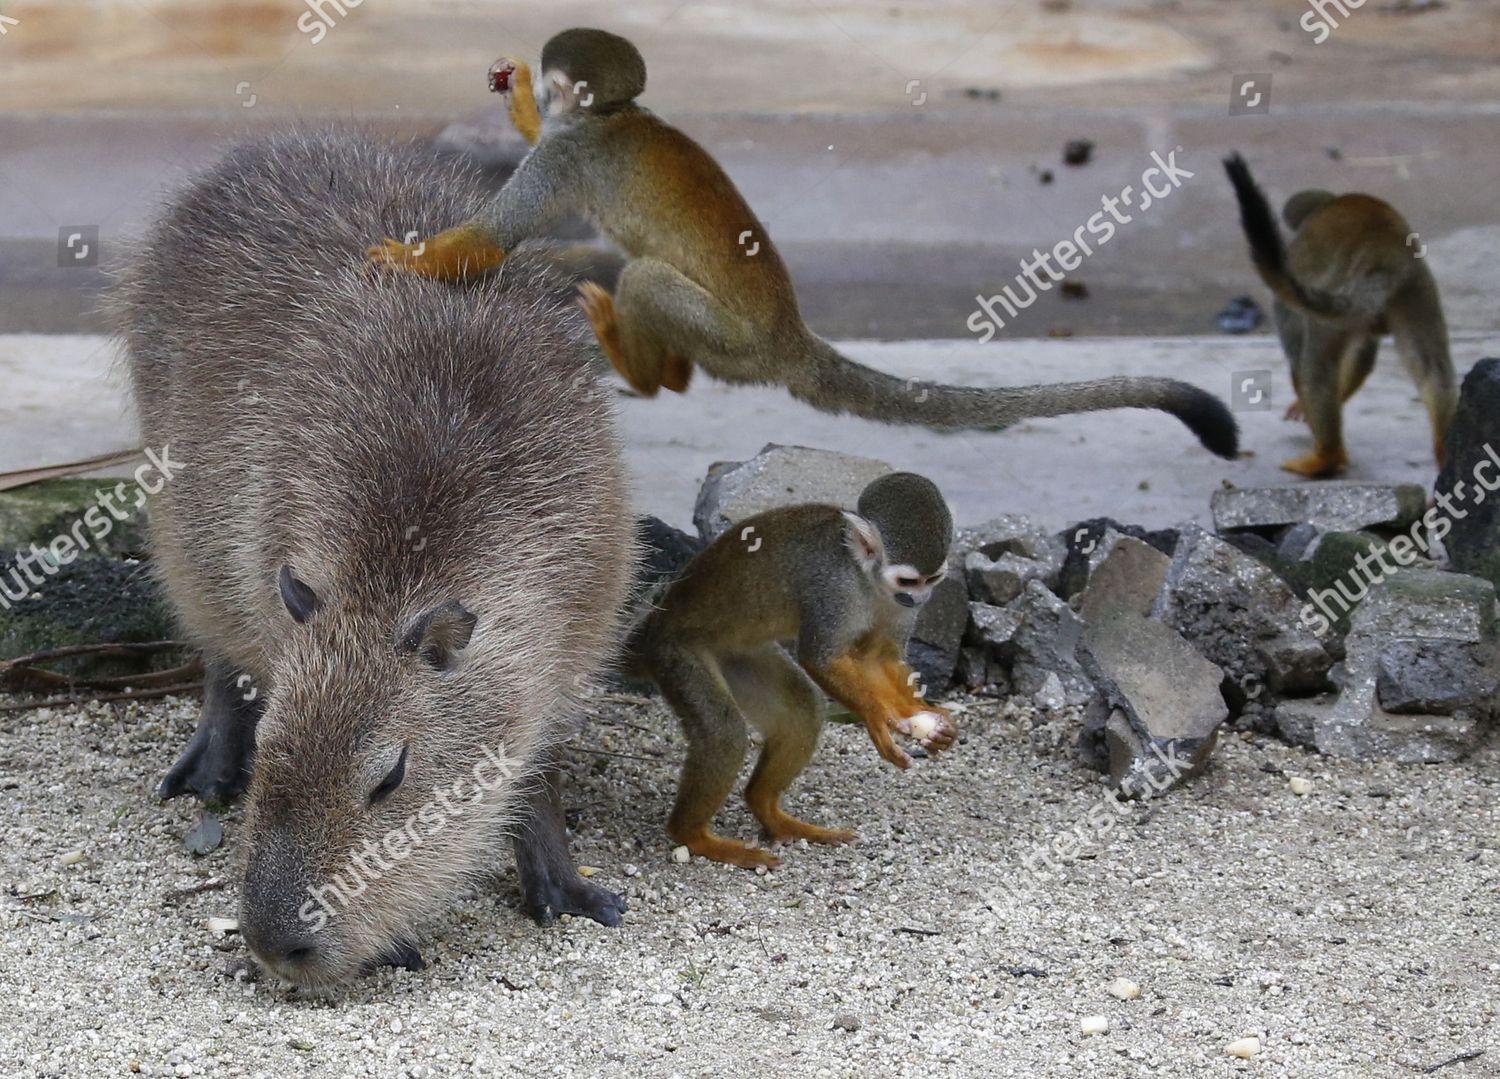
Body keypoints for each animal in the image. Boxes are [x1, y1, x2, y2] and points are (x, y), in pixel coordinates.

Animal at [367, 28, 1240, 461]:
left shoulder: (570, 153)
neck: (612, 118)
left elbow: (493, 237)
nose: (541, 90)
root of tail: (790, 335)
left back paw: (642, 366)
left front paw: (404, 259)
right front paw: (513, 91)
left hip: (735, 340)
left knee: (645, 278)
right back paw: (665, 375)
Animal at [629, 472, 957, 870]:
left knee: (801, 708)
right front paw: (877, 717)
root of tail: (656, 627)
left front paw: (919, 714)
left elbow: (881, 656)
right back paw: (694, 836)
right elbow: (820, 657)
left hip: (734, 653)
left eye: (932, 579)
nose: (919, 599)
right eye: (908, 581)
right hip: (677, 654)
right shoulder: (831, 589)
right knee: (725, 733)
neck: (866, 578)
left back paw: (768, 811)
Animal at [1224, 154, 1457, 477]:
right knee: (1433, 368)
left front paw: (1303, 407)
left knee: (1315, 365)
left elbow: (1300, 358)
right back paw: (1445, 445)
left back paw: (1326, 457)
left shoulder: (1287, 298)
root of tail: (1385, 258)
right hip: (1415, 288)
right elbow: (1364, 359)